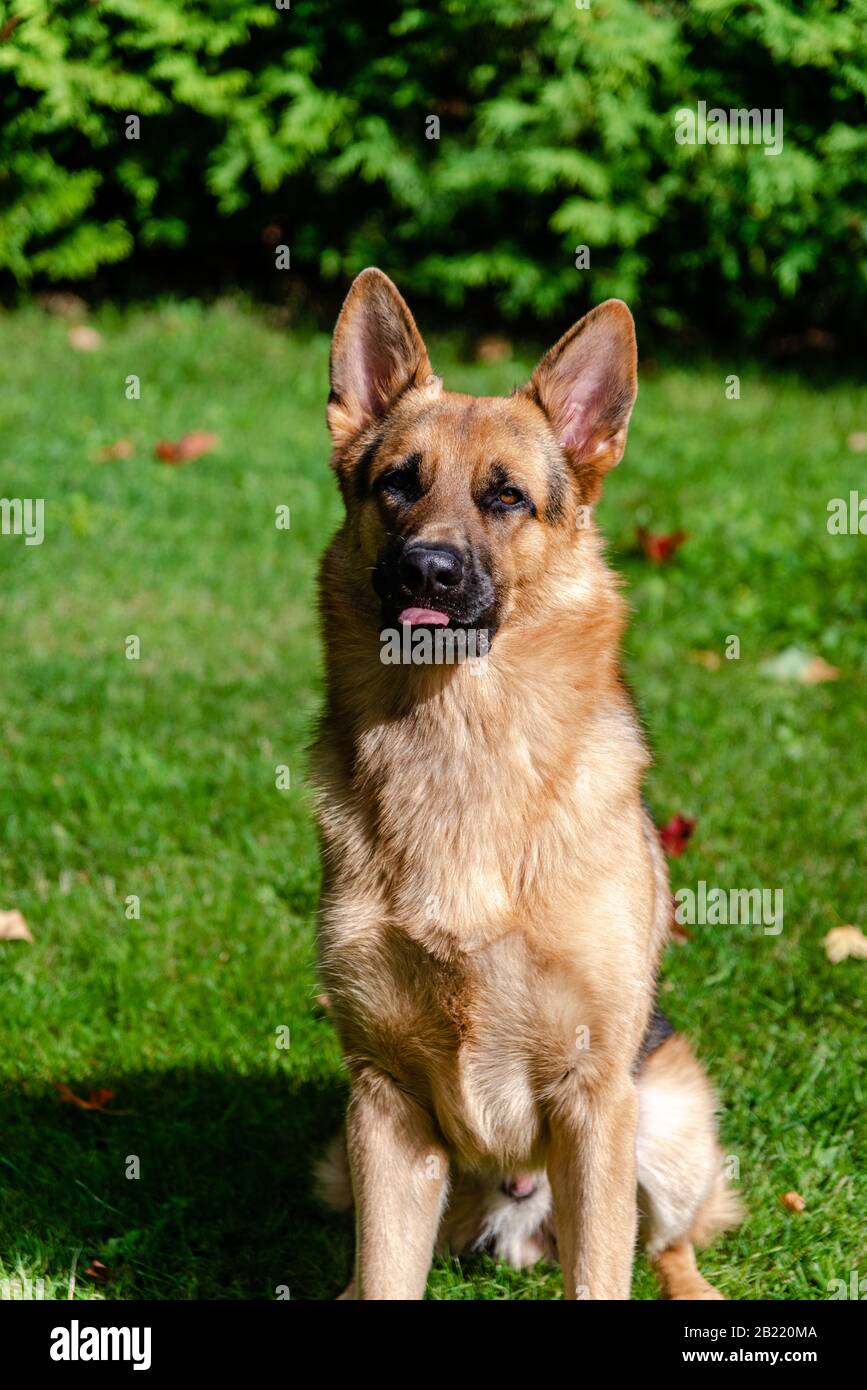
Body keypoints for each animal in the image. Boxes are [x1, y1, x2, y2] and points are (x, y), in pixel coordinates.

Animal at [311, 271, 739, 1301]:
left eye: (505, 496)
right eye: (397, 483)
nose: (426, 569)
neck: (463, 747)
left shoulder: (593, 1101)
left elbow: (602, 1272)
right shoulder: (382, 1103)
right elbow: (384, 1276)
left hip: (663, 1126)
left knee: (669, 1243)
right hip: (346, 1161)